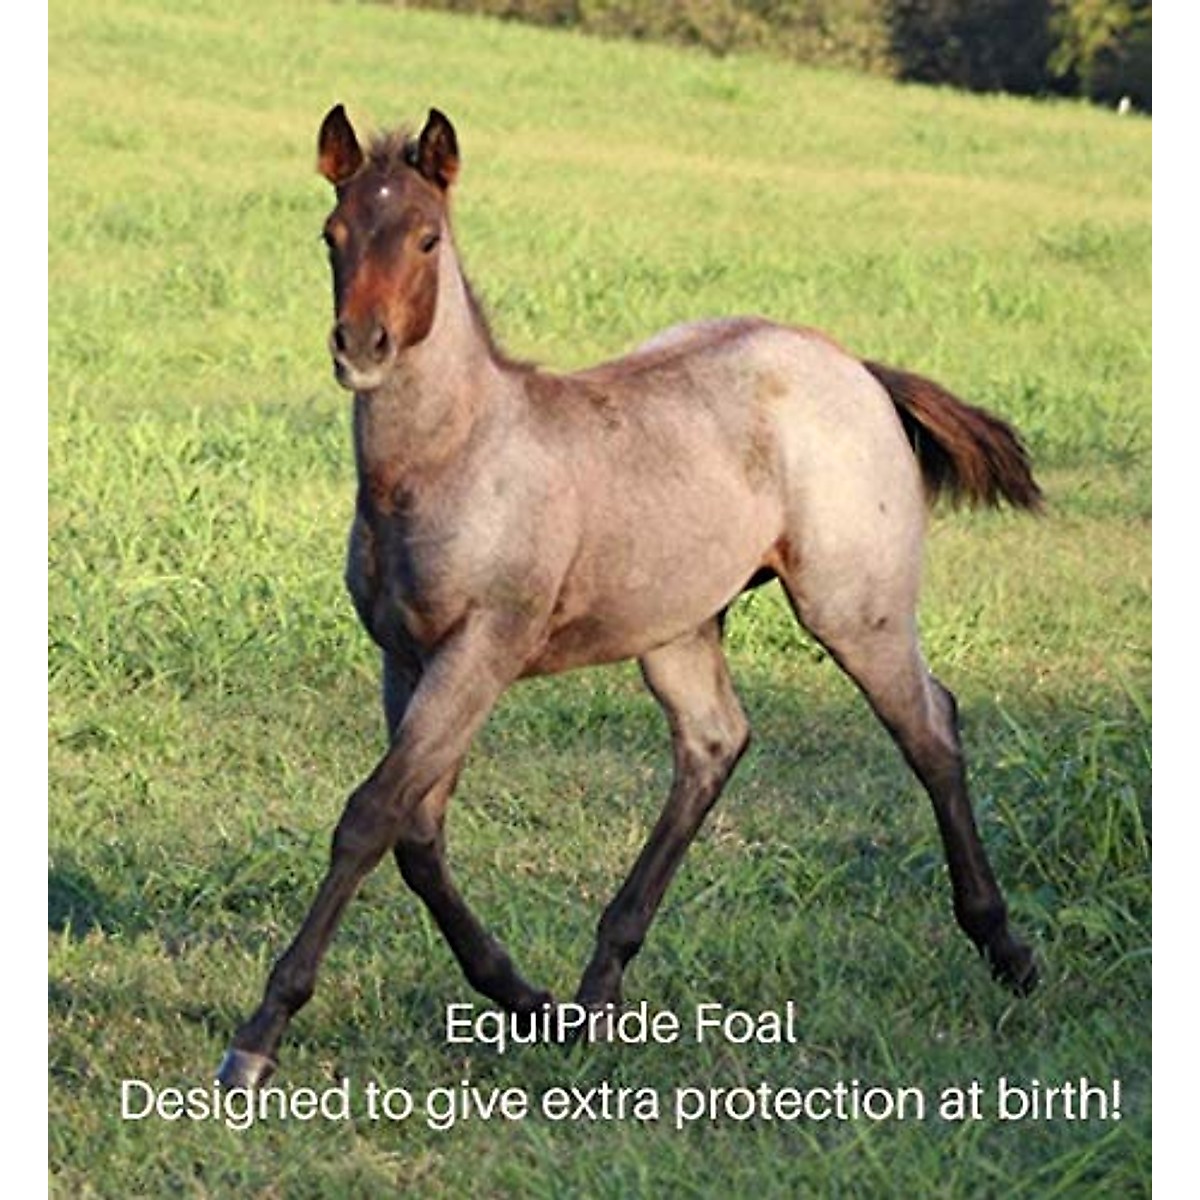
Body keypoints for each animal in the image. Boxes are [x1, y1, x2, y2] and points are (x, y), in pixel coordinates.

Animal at [217, 105, 1042, 1088]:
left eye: (426, 237)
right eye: (331, 234)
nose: (361, 348)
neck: (453, 458)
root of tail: (858, 370)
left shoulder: (481, 651)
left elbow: (370, 817)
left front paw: (259, 1034)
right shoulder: (405, 657)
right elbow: (416, 837)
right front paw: (524, 998)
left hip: (855, 607)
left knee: (931, 730)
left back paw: (1008, 951)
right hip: (677, 626)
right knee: (715, 744)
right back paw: (597, 987)